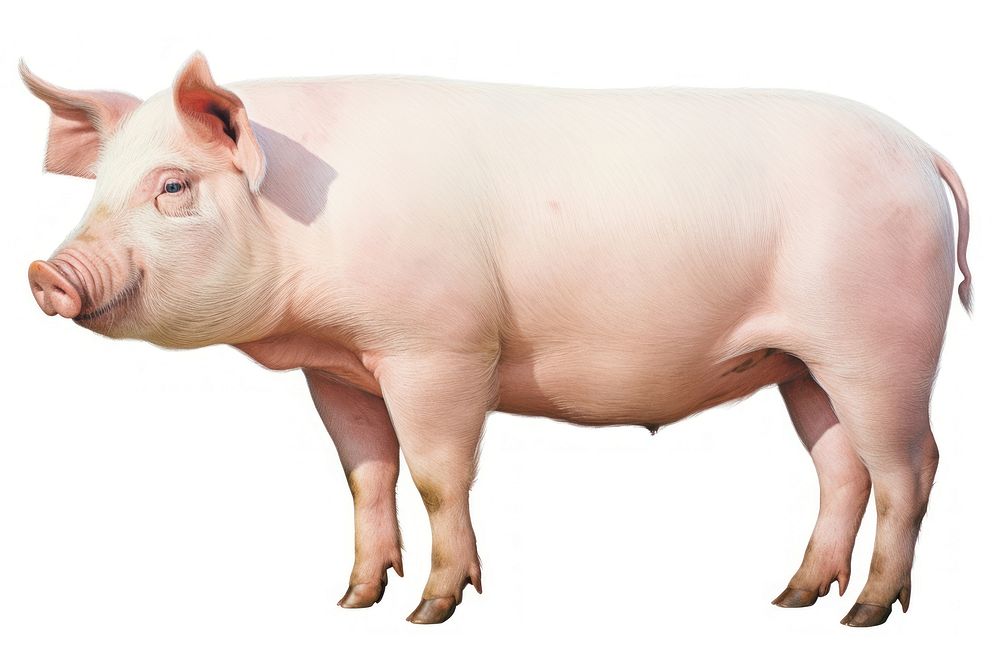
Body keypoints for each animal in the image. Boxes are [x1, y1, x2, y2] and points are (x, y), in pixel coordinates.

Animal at [21, 53, 972, 627]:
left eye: (173, 186)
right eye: (99, 186)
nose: (44, 272)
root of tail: (922, 150)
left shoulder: (439, 344)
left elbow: (439, 475)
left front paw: (430, 611)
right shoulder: (341, 368)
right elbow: (366, 474)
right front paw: (353, 601)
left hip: (885, 342)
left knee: (910, 467)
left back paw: (866, 612)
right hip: (805, 362)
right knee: (841, 466)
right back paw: (792, 599)